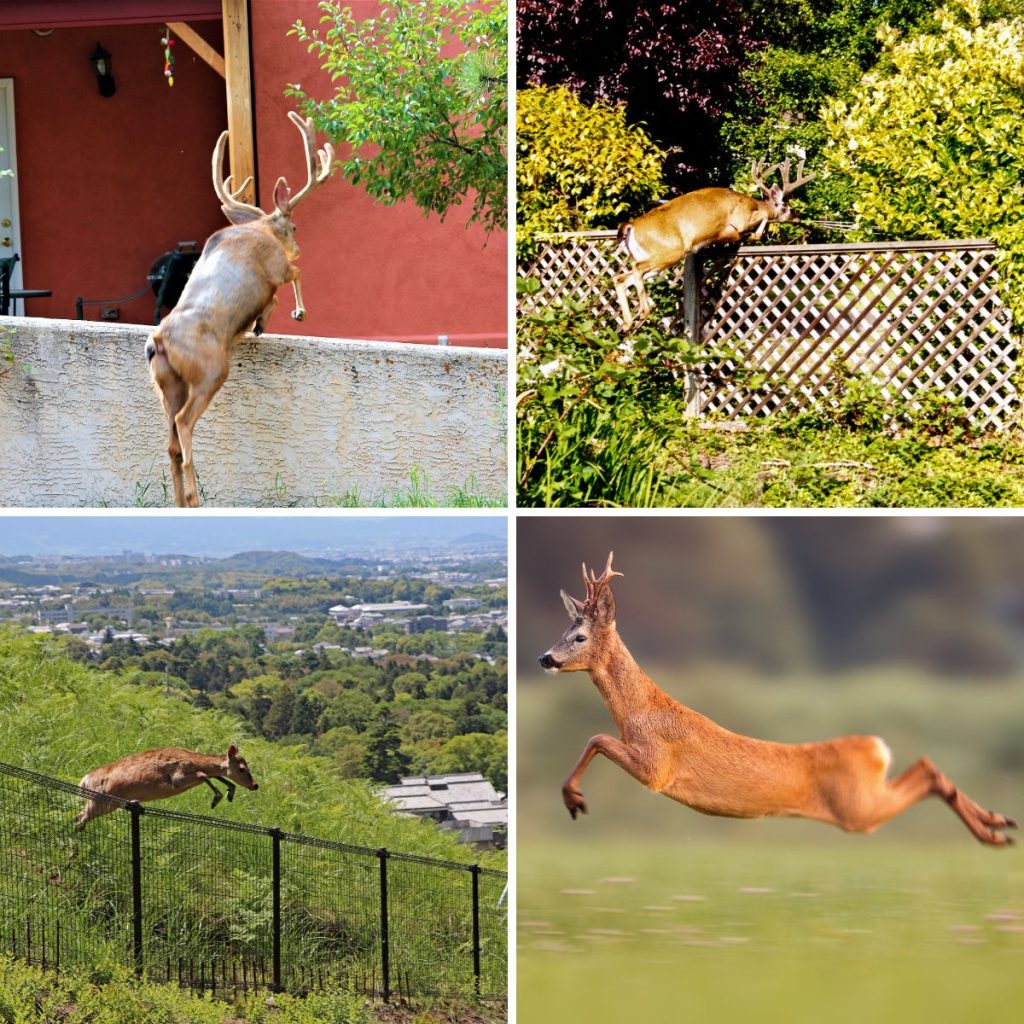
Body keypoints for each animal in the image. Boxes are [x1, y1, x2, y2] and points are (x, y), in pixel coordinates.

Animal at [73, 744, 259, 830]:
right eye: (242, 769)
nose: (255, 785)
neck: (193, 760)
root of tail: (84, 780)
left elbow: (214, 775)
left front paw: (229, 793)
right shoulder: (177, 779)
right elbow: (203, 774)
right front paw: (217, 798)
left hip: (108, 804)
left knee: (79, 817)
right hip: (98, 800)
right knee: (80, 818)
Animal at [146, 111, 335, 507]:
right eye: (295, 226)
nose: (298, 249)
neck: (260, 230)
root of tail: (158, 341)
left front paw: (263, 323)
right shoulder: (275, 266)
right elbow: (291, 280)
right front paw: (291, 315)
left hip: (166, 383)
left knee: (170, 442)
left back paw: (179, 502)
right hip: (210, 371)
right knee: (184, 425)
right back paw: (195, 499)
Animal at [538, 553, 1017, 847]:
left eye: (579, 637)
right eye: (563, 631)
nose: (545, 658)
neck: (639, 711)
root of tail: (875, 747)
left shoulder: (656, 768)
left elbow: (597, 737)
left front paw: (573, 799)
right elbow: (597, 738)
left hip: (857, 810)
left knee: (927, 772)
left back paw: (995, 831)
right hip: (864, 800)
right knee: (926, 766)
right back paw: (999, 825)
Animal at [612, 158, 815, 328]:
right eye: (789, 207)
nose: (798, 217)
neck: (752, 203)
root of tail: (632, 226)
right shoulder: (739, 221)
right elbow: (762, 218)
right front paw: (753, 236)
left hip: (655, 259)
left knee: (620, 277)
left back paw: (628, 323)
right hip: (669, 251)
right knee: (636, 269)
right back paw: (643, 312)